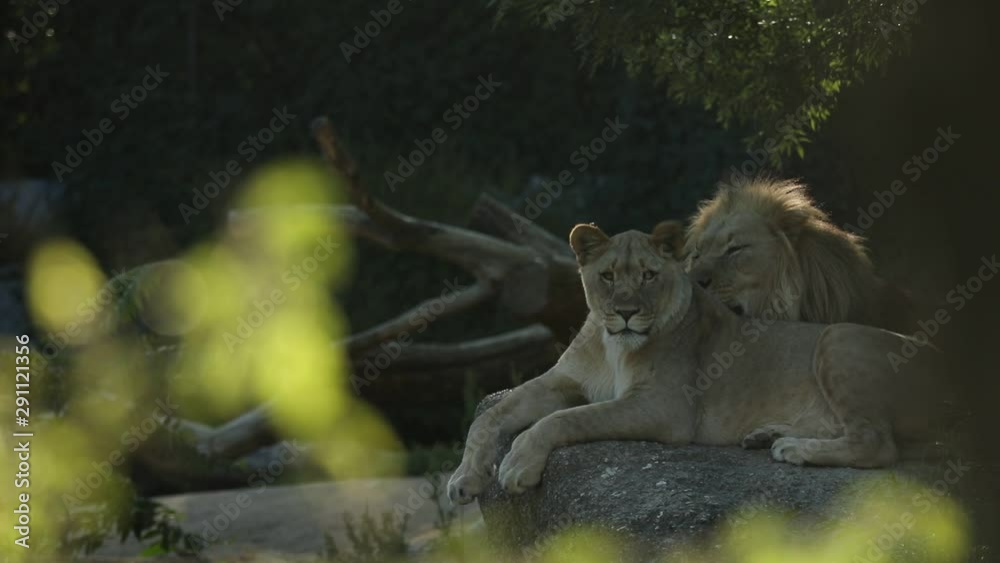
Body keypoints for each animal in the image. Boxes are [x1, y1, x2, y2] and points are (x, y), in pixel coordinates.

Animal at [447, 222, 948, 504]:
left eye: (649, 275)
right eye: (607, 276)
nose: (626, 312)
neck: (612, 346)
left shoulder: (664, 408)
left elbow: (564, 420)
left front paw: (517, 466)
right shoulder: (562, 380)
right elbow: (489, 416)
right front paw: (465, 478)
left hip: (838, 335)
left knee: (877, 444)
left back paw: (792, 449)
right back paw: (769, 434)